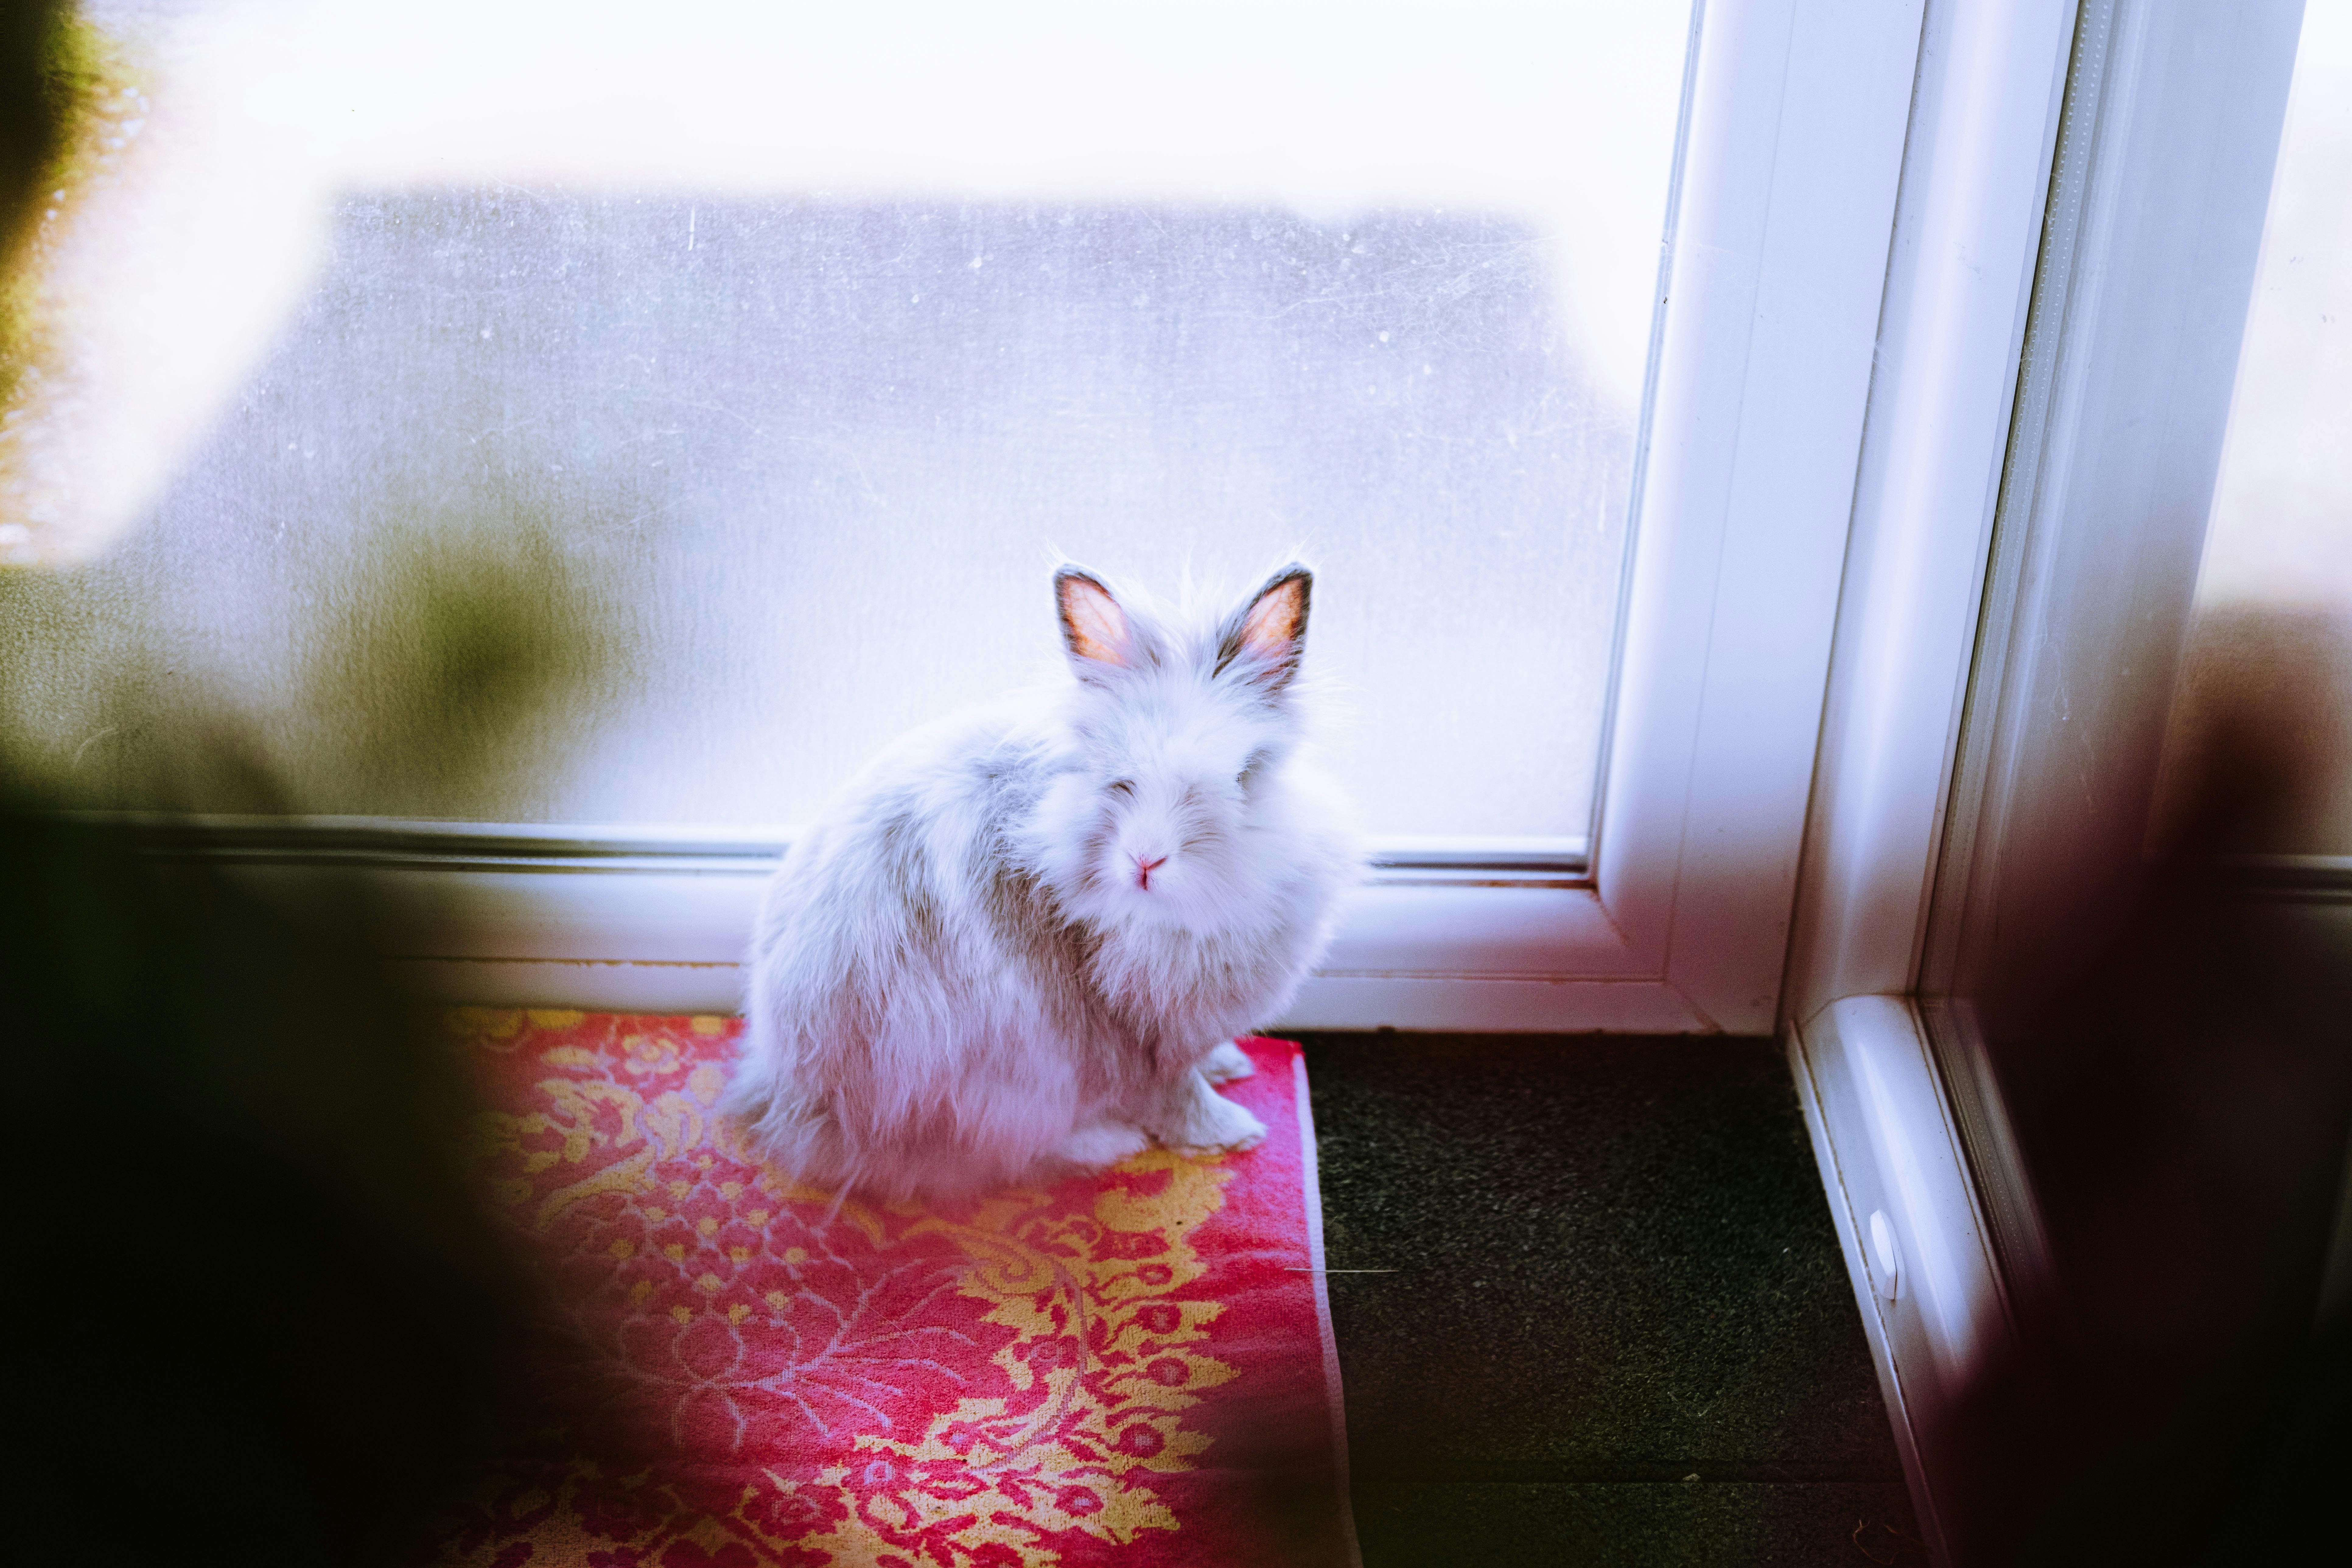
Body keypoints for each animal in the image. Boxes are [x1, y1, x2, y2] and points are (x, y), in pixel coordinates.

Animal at [721, 561, 1361, 1201]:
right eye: (1119, 783)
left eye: (1242, 777)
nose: (1146, 861)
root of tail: (782, 1098)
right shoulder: (1134, 1038)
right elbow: (1174, 1094)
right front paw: (1230, 1132)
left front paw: (1228, 1065)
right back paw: (1107, 1143)